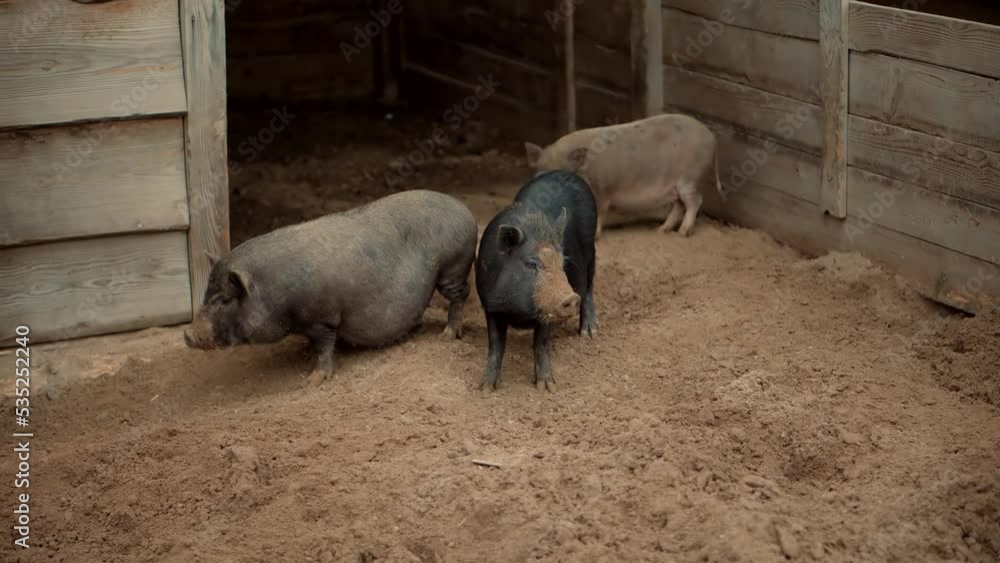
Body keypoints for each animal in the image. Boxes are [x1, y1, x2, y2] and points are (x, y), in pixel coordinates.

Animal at [183, 189, 478, 387]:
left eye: (225, 299)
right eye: (207, 293)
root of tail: (464, 210)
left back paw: (447, 336)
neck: (274, 290)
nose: (187, 333)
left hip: (453, 266)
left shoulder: (321, 317)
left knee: (460, 296)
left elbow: (324, 347)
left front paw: (313, 380)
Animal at [475, 170, 598, 392]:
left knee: (589, 286)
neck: (519, 310)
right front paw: (485, 388)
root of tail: (566, 173)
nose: (571, 298)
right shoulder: (489, 304)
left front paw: (547, 387)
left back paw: (589, 333)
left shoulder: (548, 311)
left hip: (591, 249)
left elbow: (540, 343)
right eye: (531, 263)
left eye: (563, 262)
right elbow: (496, 344)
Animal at [523, 113, 723, 238]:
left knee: (695, 202)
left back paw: (683, 233)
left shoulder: (602, 192)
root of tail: (712, 137)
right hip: (676, 187)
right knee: (679, 206)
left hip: (690, 179)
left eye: (563, 176)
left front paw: (595, 238)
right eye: (540, 175)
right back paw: (660, 231)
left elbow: (599, 213)